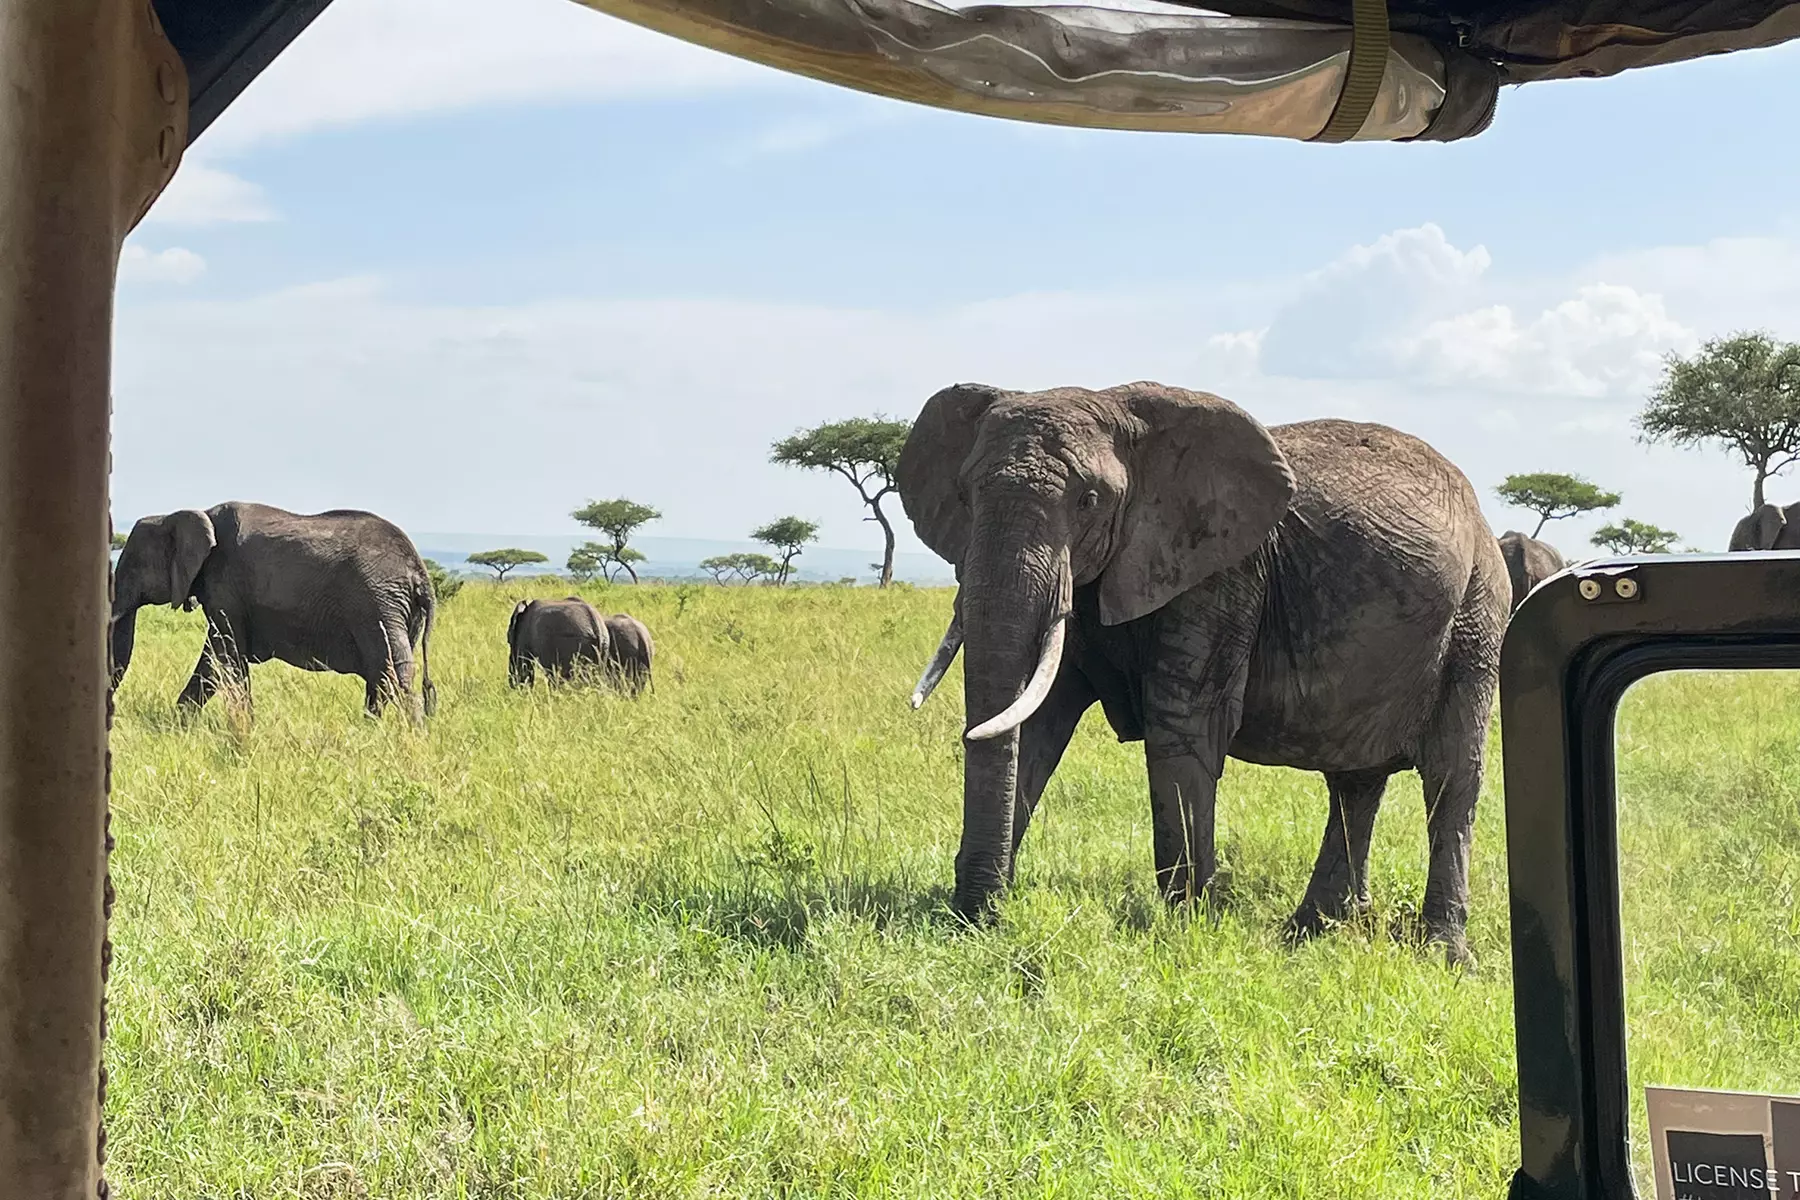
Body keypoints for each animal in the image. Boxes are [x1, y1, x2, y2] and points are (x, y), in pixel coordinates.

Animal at [113, 500, 435, 719]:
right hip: (395, 609)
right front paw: (180, 724)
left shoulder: (225, 584)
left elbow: (226, 654)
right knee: (381, 677)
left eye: (133, 567)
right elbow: (217, 658)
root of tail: (419, 572)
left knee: (394, 671)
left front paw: (243, 728)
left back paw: (410, 737)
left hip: (377, 603)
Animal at [896, 379, 1504, 964]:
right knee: (1354, 782)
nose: (980, 916)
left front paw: (1184, 926)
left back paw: (1443, 956)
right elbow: (1037, 722)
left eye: (1089, 499)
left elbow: (1183, 727)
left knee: (1450, 777)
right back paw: (1308, 935)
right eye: (964, 495)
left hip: (1477, 618)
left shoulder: (1221, 573)